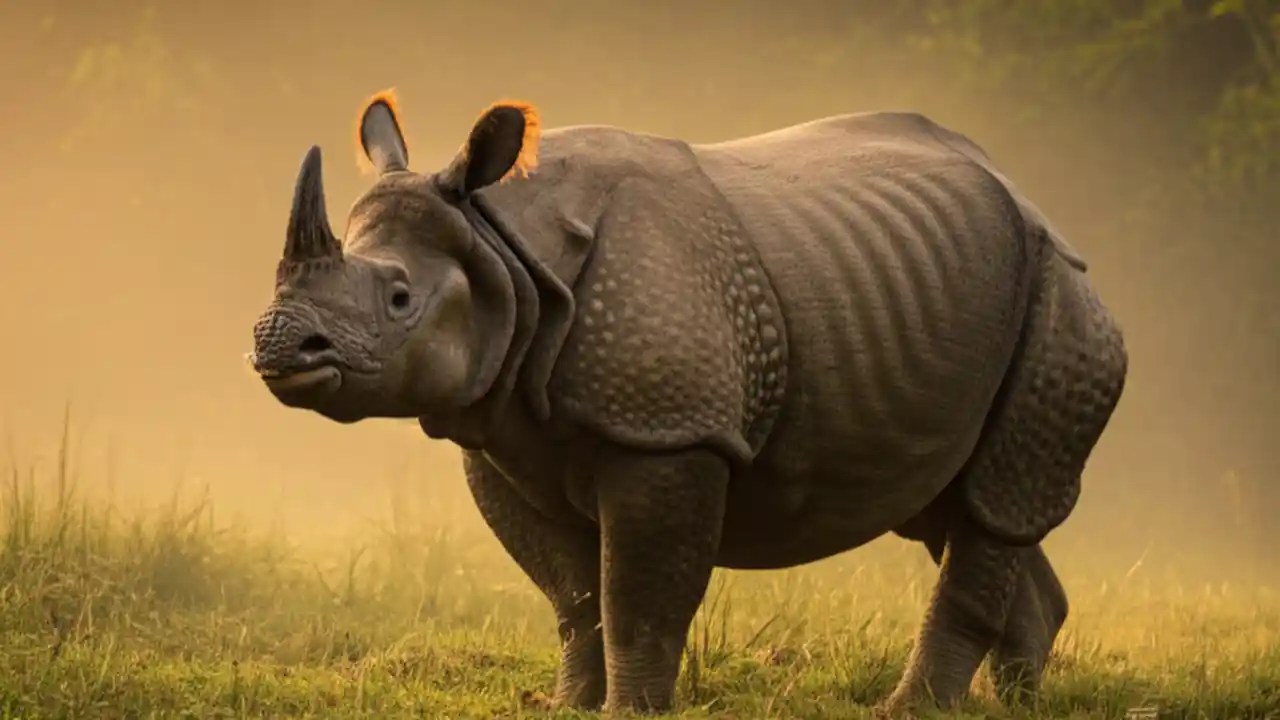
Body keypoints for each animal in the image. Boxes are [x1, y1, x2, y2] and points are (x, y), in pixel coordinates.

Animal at [249, 89, 1128, 716]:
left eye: (399, 297)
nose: (279, 346)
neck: (502, 243)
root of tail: (1033, 202)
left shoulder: (669, 431)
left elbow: (639, 592)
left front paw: (630, 713)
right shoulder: (500, 435)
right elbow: (573, 595)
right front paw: (569, 708)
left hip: (1059, 299)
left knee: (997, 500)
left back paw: (911, 713)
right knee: (958, 500)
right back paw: (1016, 705)